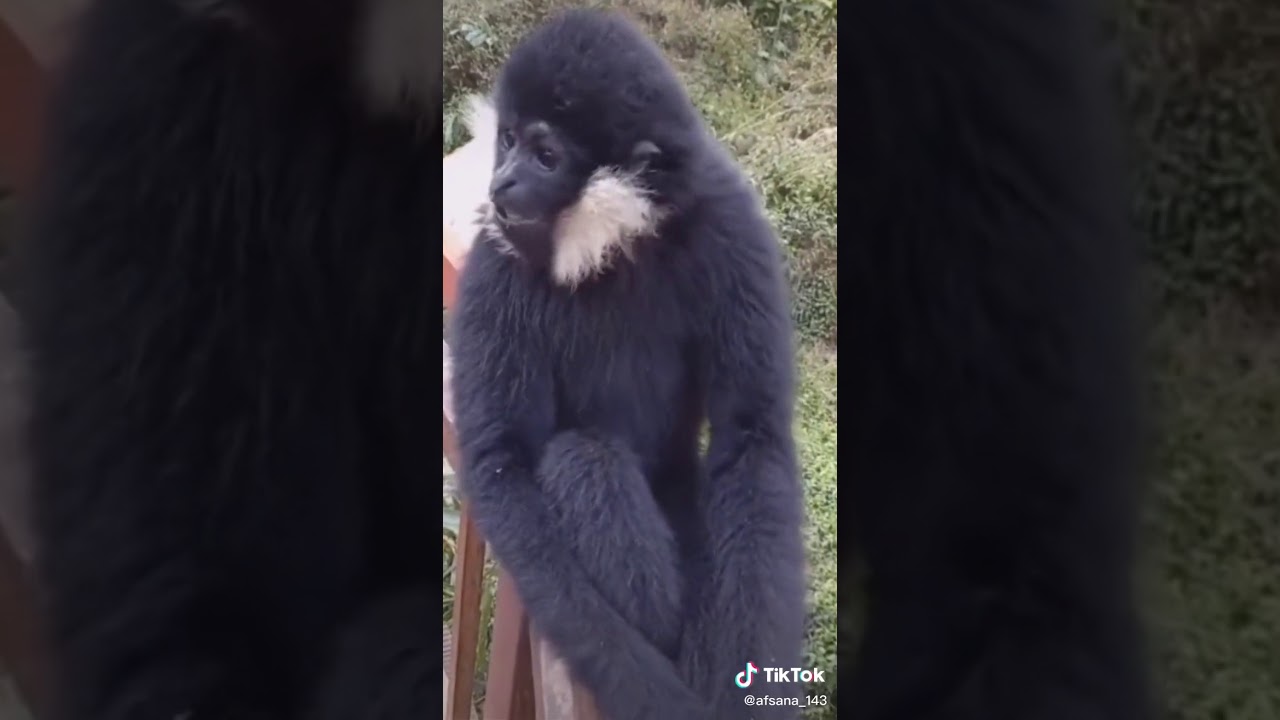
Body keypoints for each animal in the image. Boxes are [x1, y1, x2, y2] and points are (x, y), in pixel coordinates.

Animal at [447, 9, 807, 720]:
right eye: (507, 141)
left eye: (545, 154)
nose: (503, 181)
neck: (617, 244)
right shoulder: (496, 265)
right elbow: (503, 463)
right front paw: (655, 694)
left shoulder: (732, 228)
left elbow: (752, 440)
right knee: (581, 456)